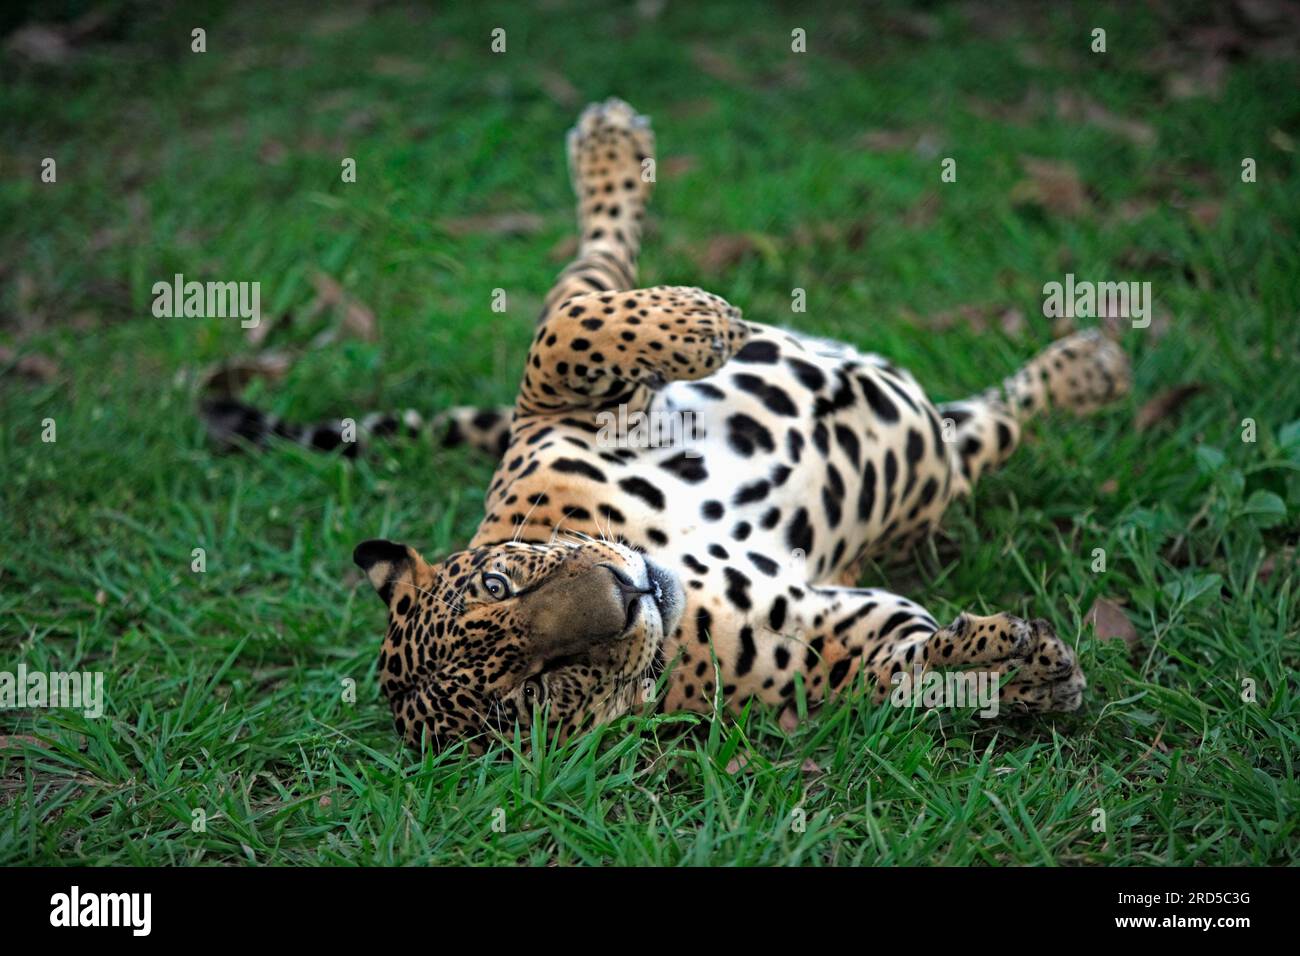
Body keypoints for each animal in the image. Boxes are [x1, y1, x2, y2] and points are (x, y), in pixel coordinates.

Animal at [208, 98, 1131, 752]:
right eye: (534, 690)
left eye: (500, 583)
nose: (625, 597)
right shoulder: (831, 645)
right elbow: (907, 669)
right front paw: (1019, 668)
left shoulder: (552, 415)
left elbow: (569, 323)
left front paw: (700, 321)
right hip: (940, 472)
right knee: (986, 427)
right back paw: (1093, 370)